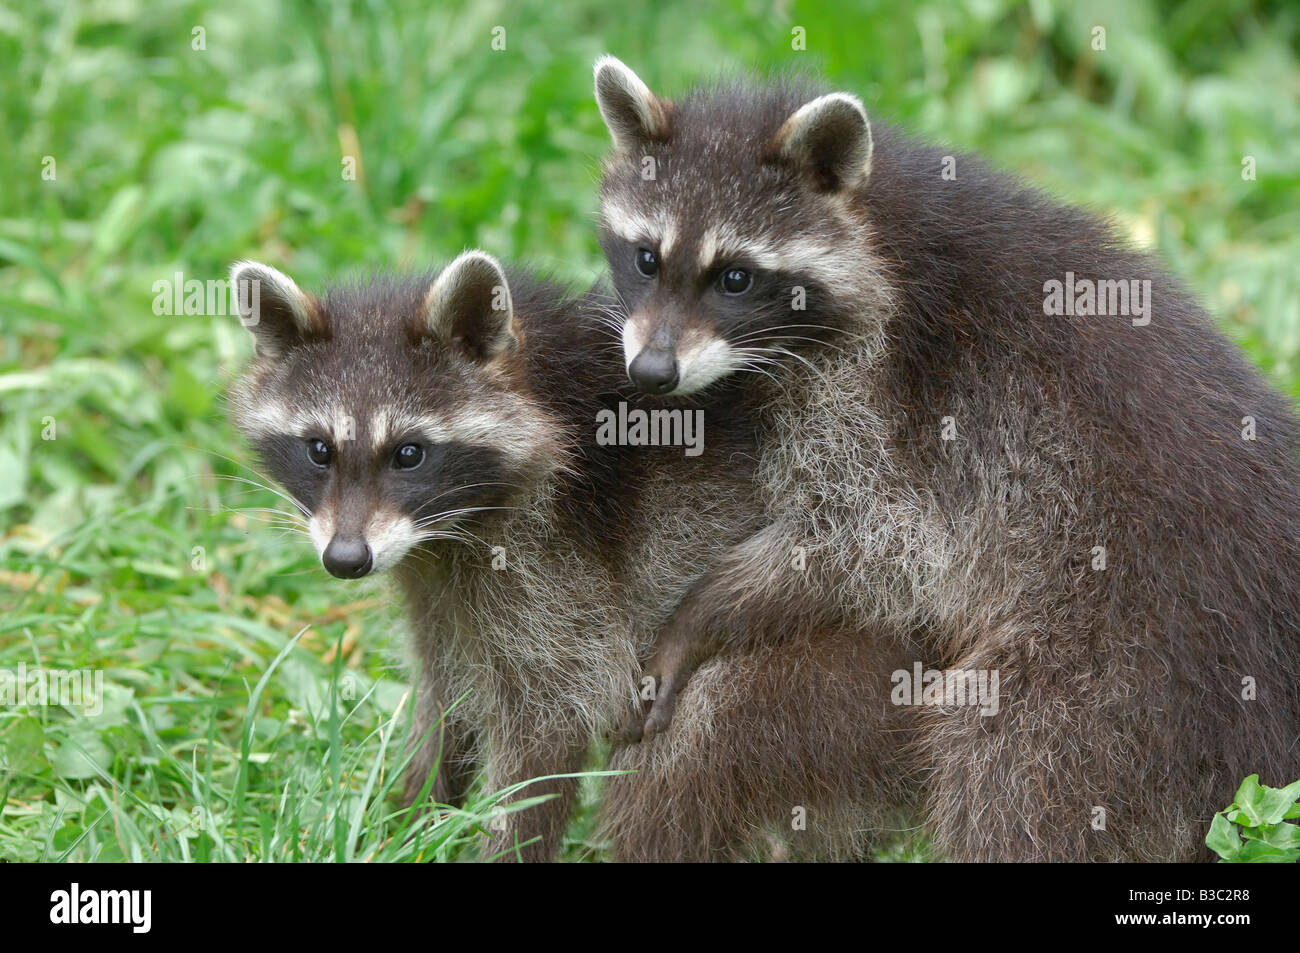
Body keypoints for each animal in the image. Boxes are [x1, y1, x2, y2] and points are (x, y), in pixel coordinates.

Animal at [225, 251, 914, 861]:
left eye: (409, 454)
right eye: (319, 450)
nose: (346, 559)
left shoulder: (556, 576)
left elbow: (547, 735)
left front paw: (505, 847)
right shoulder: (441, 594)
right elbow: (445, 704)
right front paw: (410, 819)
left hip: (828, 673)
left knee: (679, 763)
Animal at [593, 57, 1300, 861]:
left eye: (735, 276)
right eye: (646, 259)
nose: (652, 373)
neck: (879, 226)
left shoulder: (883, 405)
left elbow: (873, 545)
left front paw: (704, 610)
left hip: (1127, 664)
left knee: (1012, 770)